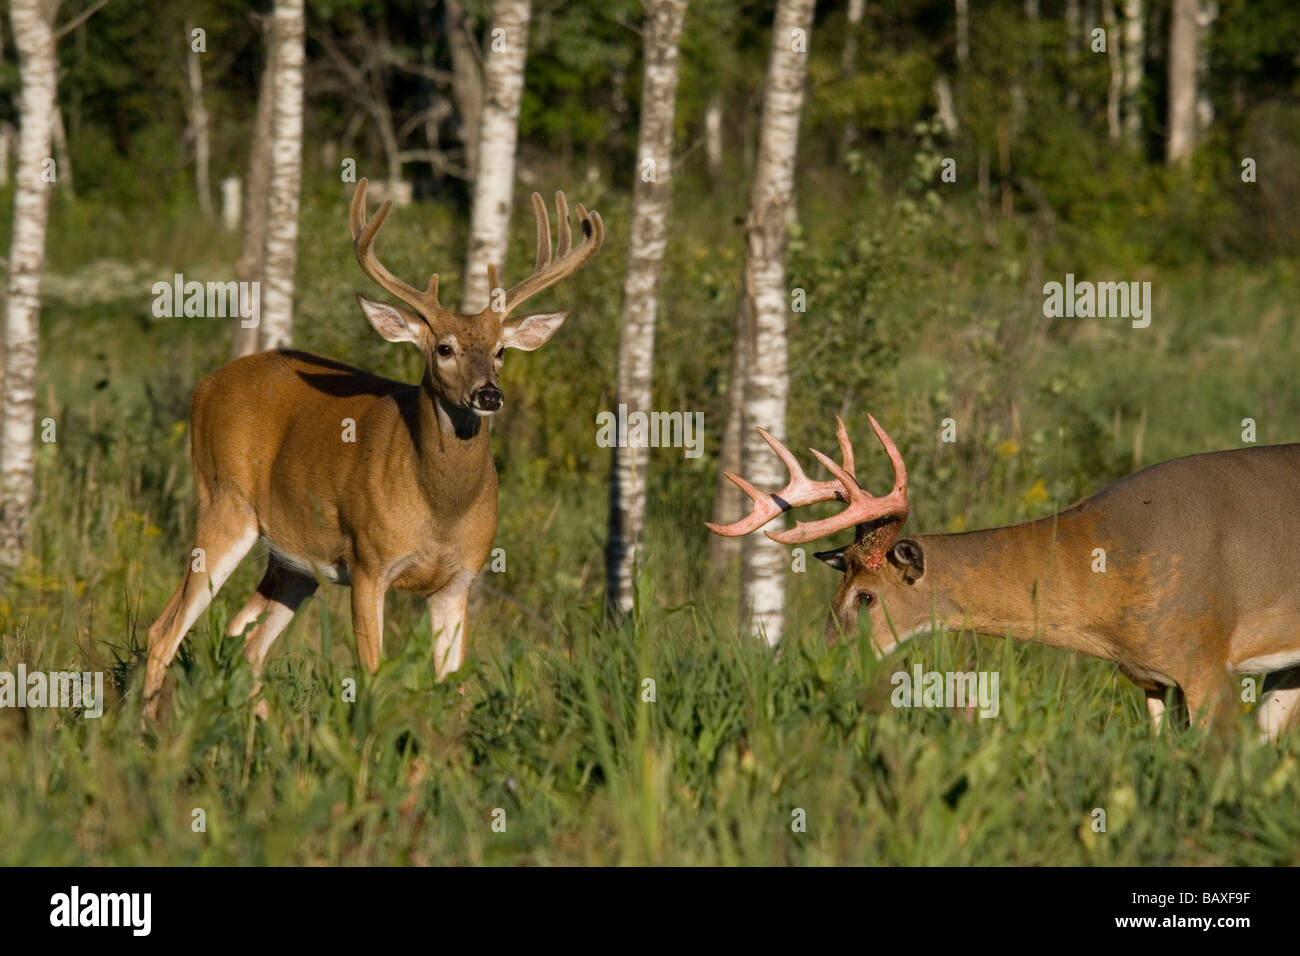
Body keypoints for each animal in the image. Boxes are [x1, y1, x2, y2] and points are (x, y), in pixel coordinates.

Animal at [142, 179, 604, 720]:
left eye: (501, 351)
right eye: (444, 348)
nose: (489, 394)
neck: (439, 508)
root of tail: (205, 387)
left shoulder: (459, 581)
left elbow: (453, 688)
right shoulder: (368, 562)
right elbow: (372, 675)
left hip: (293, 561)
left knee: (244, 642)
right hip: (224, 502)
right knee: (165, 631)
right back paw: (145, 731)